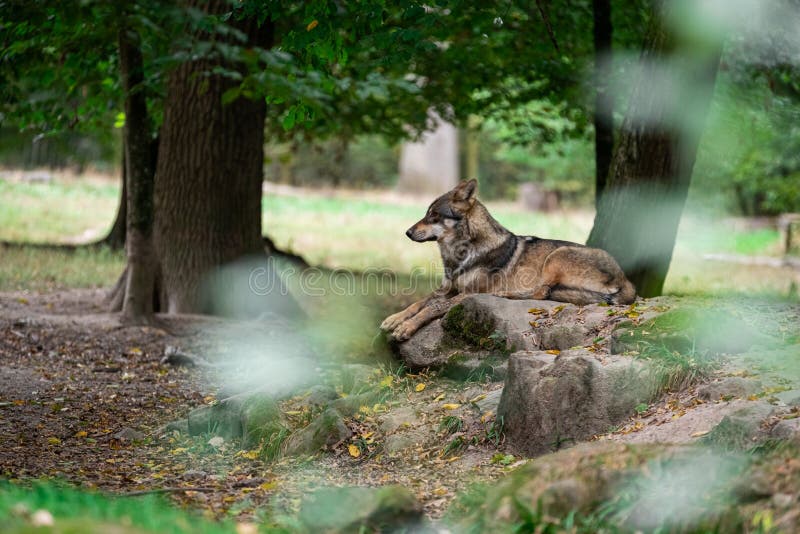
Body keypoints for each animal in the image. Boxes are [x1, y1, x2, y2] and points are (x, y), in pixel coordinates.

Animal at [380, 179, 636, 341]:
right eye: (426, 214)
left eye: (434, 215)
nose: (407, 233)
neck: (460, 254)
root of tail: (627, 280)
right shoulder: (447, 288)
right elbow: (418, 302)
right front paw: (394, 319)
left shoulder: (465, 293)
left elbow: (431, 308)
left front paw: (405, 327)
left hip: (556, 255)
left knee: (541, 292)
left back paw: (503, 294)